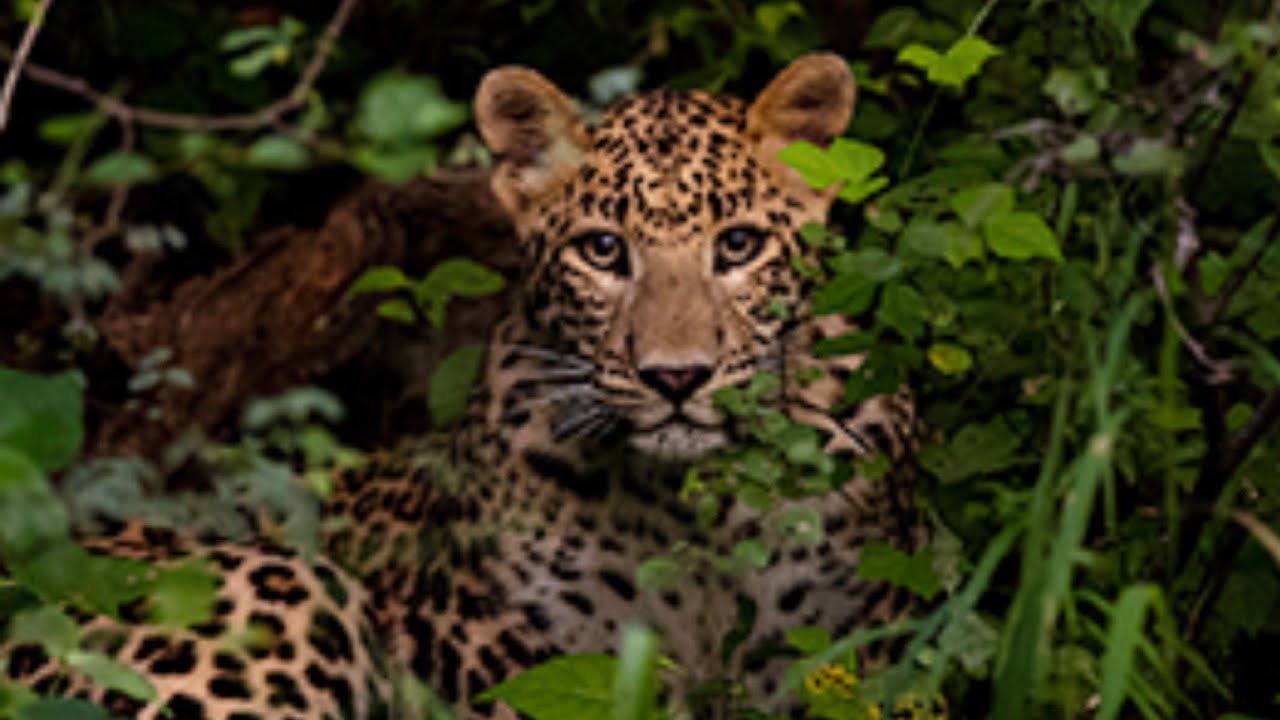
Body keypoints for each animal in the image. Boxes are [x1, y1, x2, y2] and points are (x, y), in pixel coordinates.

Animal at [2, 53, 921, 719]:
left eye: (737, 245)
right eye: (603, 250)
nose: (676, 376)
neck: (696, 515)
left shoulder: (857, 656)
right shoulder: (521, 669)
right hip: (277, 594)